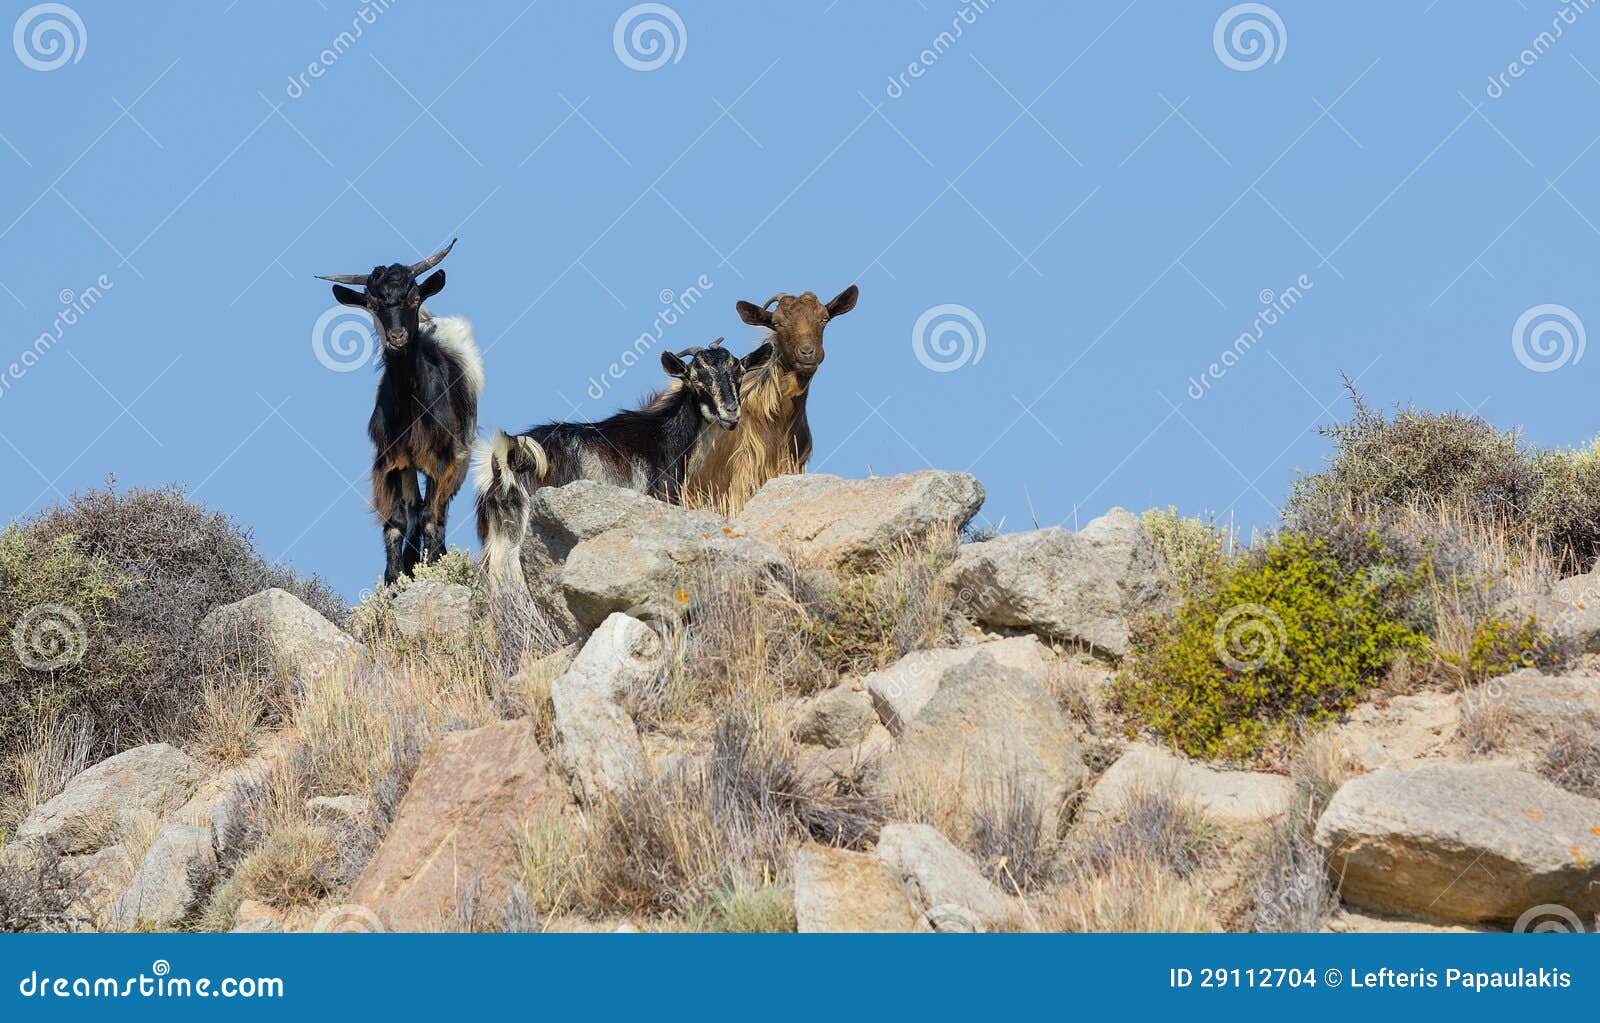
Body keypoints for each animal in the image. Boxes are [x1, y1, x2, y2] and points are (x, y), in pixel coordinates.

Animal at [318, 239, 481, 585]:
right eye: (373, 304)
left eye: (415, 297)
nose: (397, 338)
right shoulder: (390, 460)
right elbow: (396, 522)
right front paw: (395, 579)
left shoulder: (442, 458)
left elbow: (431, 517)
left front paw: (432, 569)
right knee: (414, 509)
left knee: (436, 511)